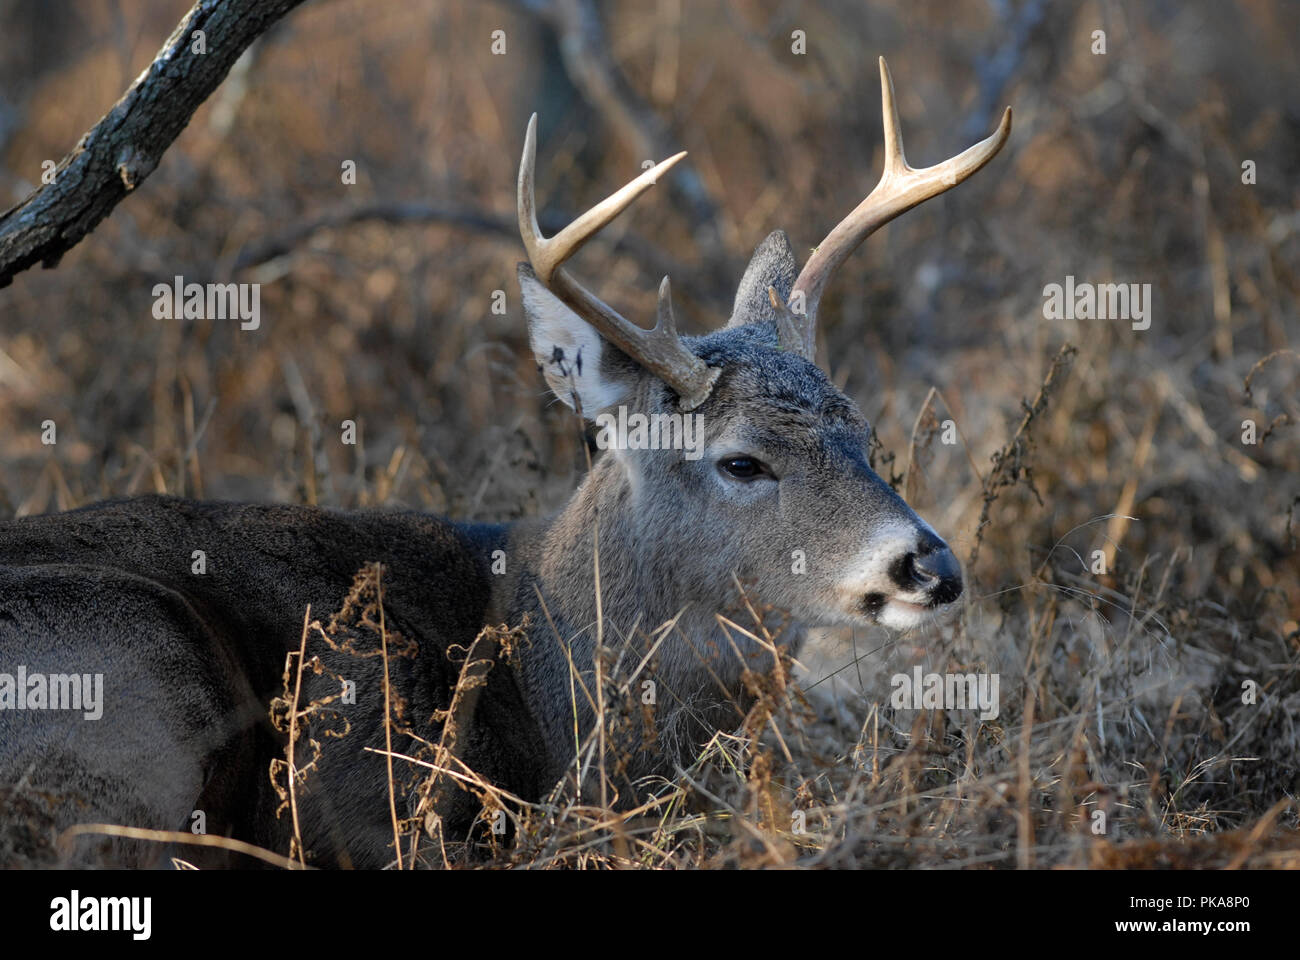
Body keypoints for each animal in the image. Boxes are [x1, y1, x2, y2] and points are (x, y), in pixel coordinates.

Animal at [0, 59, 1009, 869]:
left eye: (864, 431)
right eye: (741, 463)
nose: (931, 564)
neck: (553, 680)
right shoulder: (381, 806)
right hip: (141, 661)